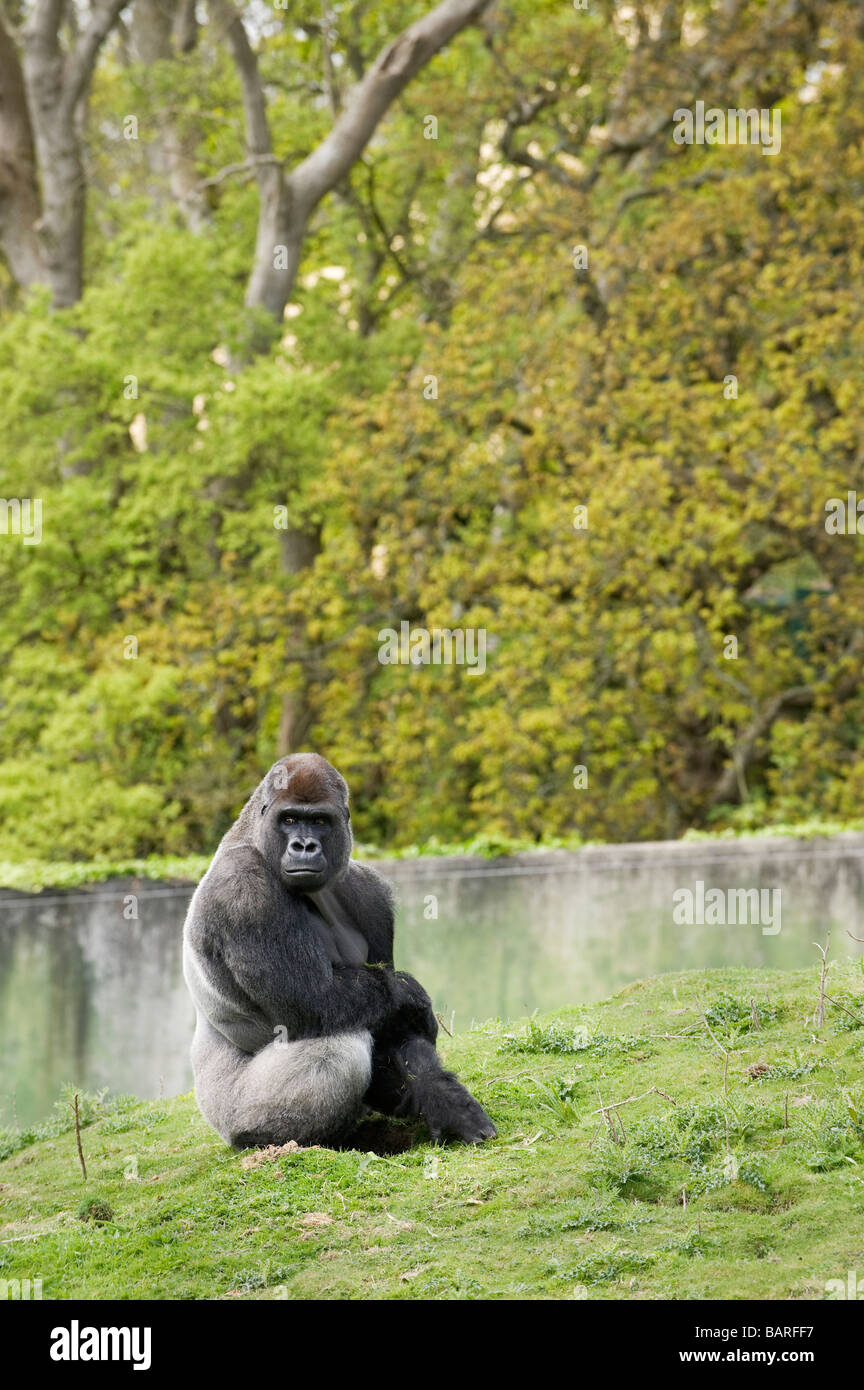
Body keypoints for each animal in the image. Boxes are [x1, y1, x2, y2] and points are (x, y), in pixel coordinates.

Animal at [182, 753, 496, 1149]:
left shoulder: (369, 890)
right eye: (289, 819)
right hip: (228, 1112)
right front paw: (409, 993)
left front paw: (439, 1094)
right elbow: (316, 1001)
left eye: (319, 821)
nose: (304, 845)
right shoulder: (241, 889)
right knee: (339, 1048)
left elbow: (394, 1027)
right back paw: (269, 1139)